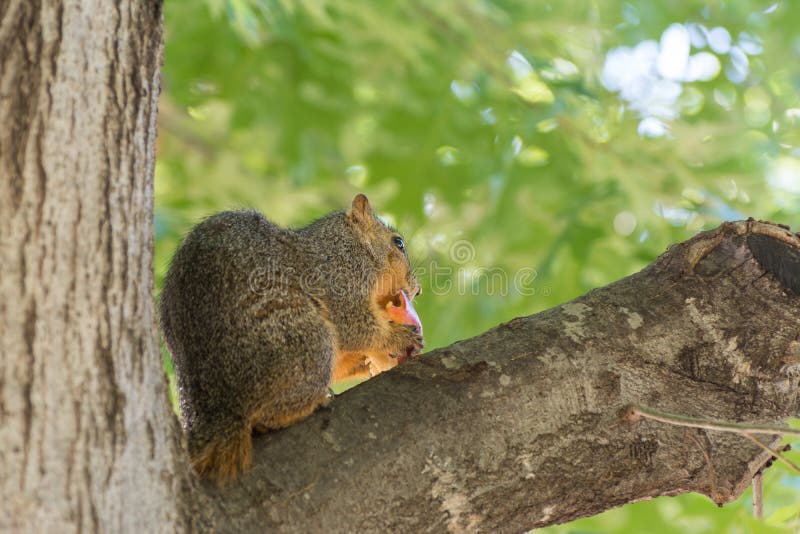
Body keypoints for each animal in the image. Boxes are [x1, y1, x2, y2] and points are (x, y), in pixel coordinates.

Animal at [159, 194, 424, 485]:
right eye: (398, 243)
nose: (418, 290)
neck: (344, 242)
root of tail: (217, 410)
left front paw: (367, 363)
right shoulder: (342, 275)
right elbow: (354, 325)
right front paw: (398, 337)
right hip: (306, 341)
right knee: (266, 415)